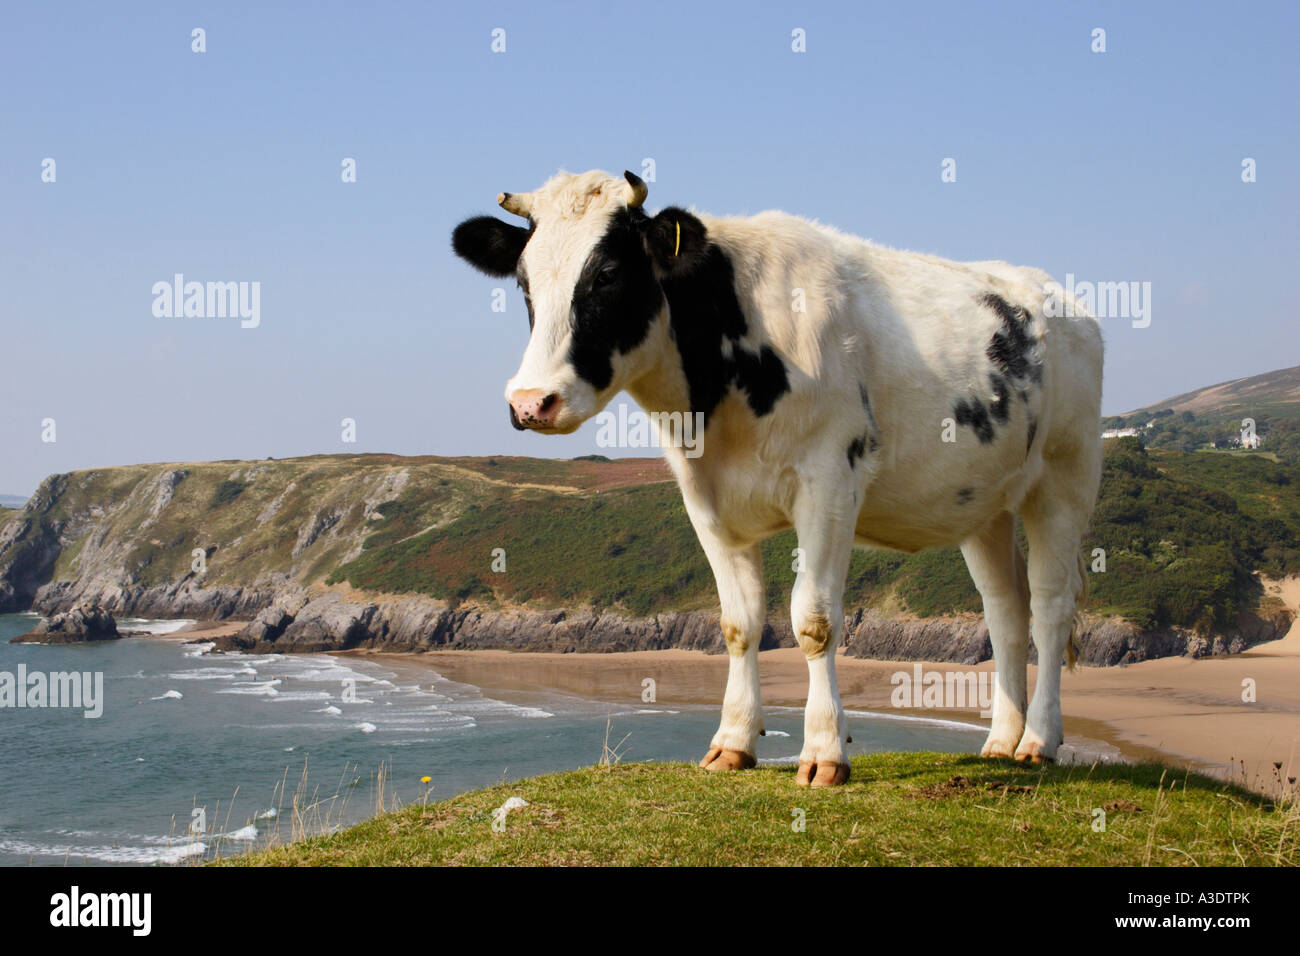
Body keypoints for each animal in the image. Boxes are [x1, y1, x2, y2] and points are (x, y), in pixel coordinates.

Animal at [452, 169, 1103, 787]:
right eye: (524, 282)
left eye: (608, 273)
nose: (531, 402)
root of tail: (1052, 293)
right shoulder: (705, 498)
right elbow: (738, 624)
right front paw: (732, 743)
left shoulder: (830, 482)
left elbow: (813, 621)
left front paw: (824, 754)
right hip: (985, 503)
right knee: (1006, 612)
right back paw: (1001, 741)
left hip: (1065, 476)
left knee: (1049, 607)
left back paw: (1039, 742)